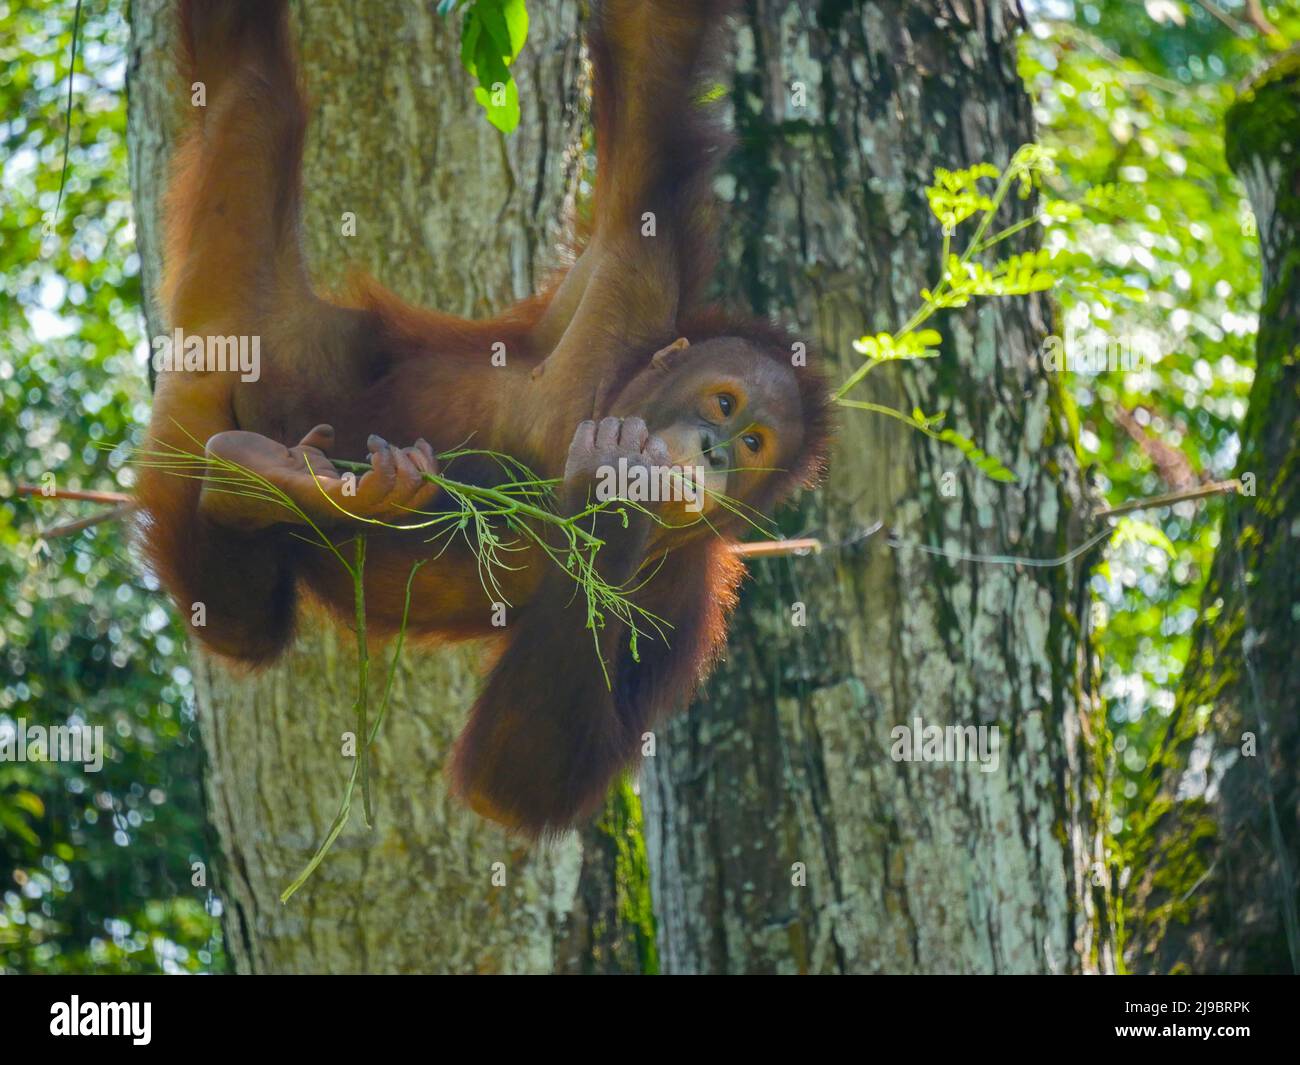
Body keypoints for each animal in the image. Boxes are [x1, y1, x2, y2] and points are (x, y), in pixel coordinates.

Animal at [135, 0, 832, 836]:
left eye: (754, 442)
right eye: (723, 403)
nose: (714, 449)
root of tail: (241, 322)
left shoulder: (685, 593)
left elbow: (520, 780)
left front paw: (617, 494)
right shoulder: (638, 276)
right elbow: (653, 53)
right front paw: (620, 475)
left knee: (244, 619)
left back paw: (256, 479)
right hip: (250, 311)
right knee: (251, 89)